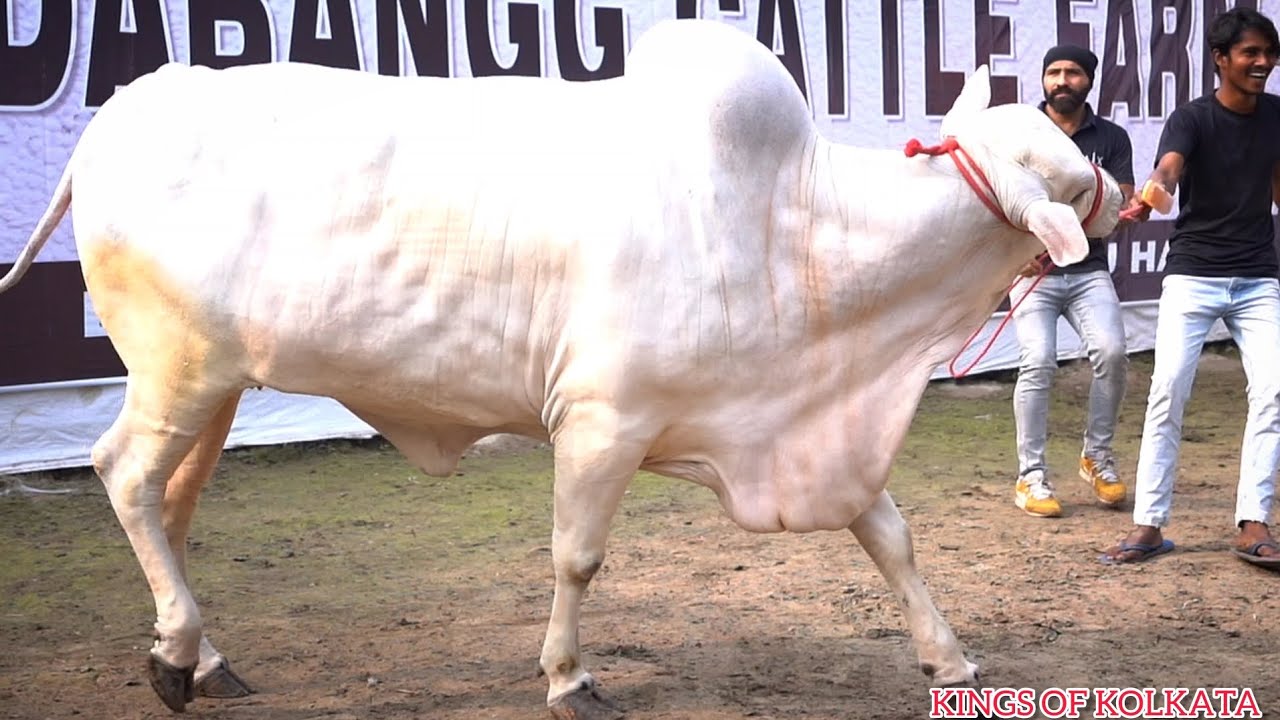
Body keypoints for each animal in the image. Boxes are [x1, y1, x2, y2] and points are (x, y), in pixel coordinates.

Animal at [0, 18, 1121, 719]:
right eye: (1062, 163)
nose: (1125, 185)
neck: (792, 222)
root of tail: (113, 120)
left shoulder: (815, 445)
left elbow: (890, 538)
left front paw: (950, 655)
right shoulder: (600, 421)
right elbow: (576, 557)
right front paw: (568, 679)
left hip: (219, 385)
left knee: (173, 502)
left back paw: (198, 661)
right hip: (176, 371)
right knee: (126, 476)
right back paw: (176, 649)